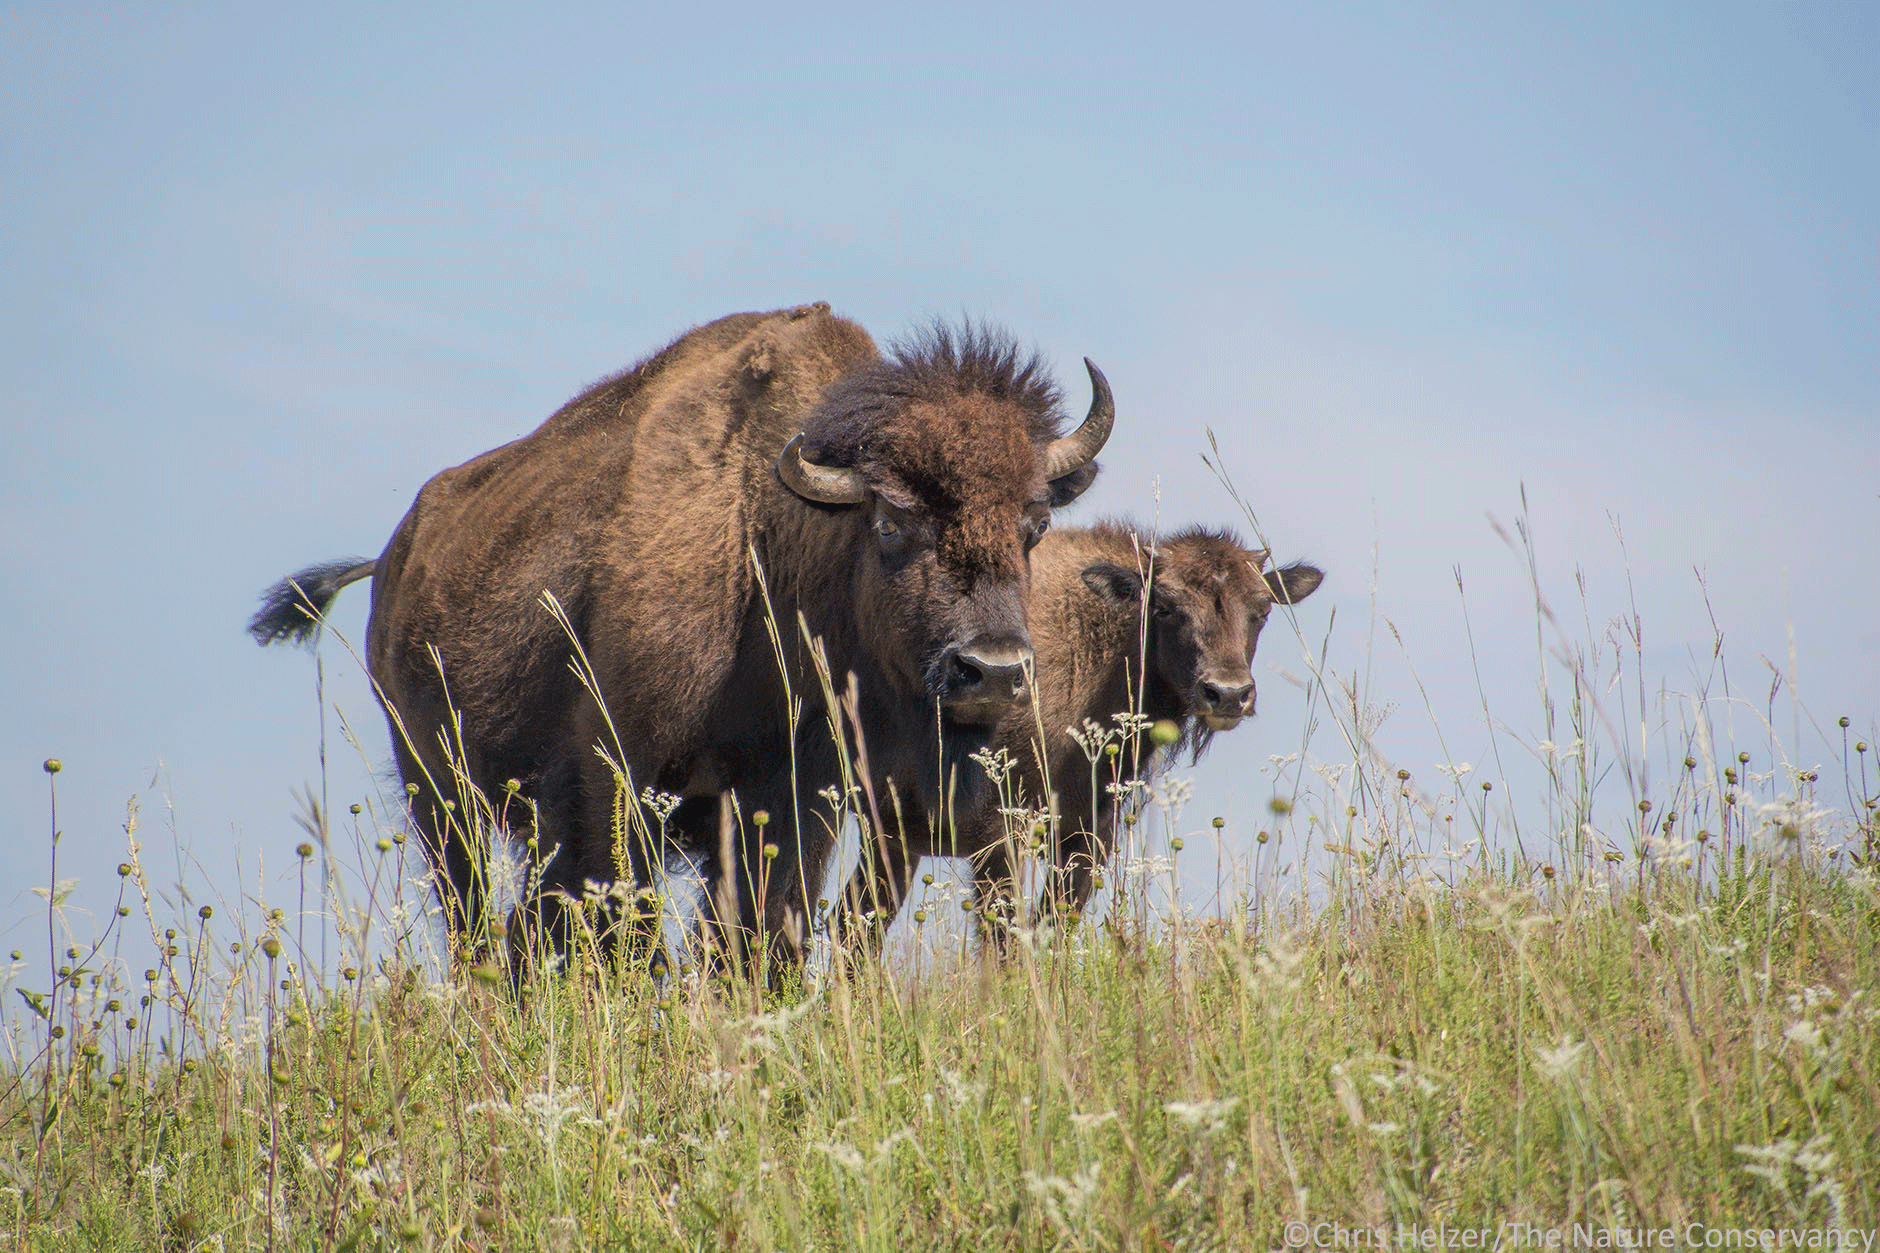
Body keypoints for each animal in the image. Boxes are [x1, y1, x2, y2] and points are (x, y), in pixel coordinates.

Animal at [250, 303, 1113, 975]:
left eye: (1036, 522)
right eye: (893, 522)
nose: (992, 671)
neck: (771, 537)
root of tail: (400, 553)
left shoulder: (794, 798)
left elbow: (756, 933)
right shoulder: (618, 776)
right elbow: (633, 929)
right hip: (437, 792)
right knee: (476, 918)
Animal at [835, 519, 1321, 953]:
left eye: (1262, 610)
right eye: (1164, 606)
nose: (1228, 693)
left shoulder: (1088, 836)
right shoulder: (998, 837)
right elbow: (1004, 941)